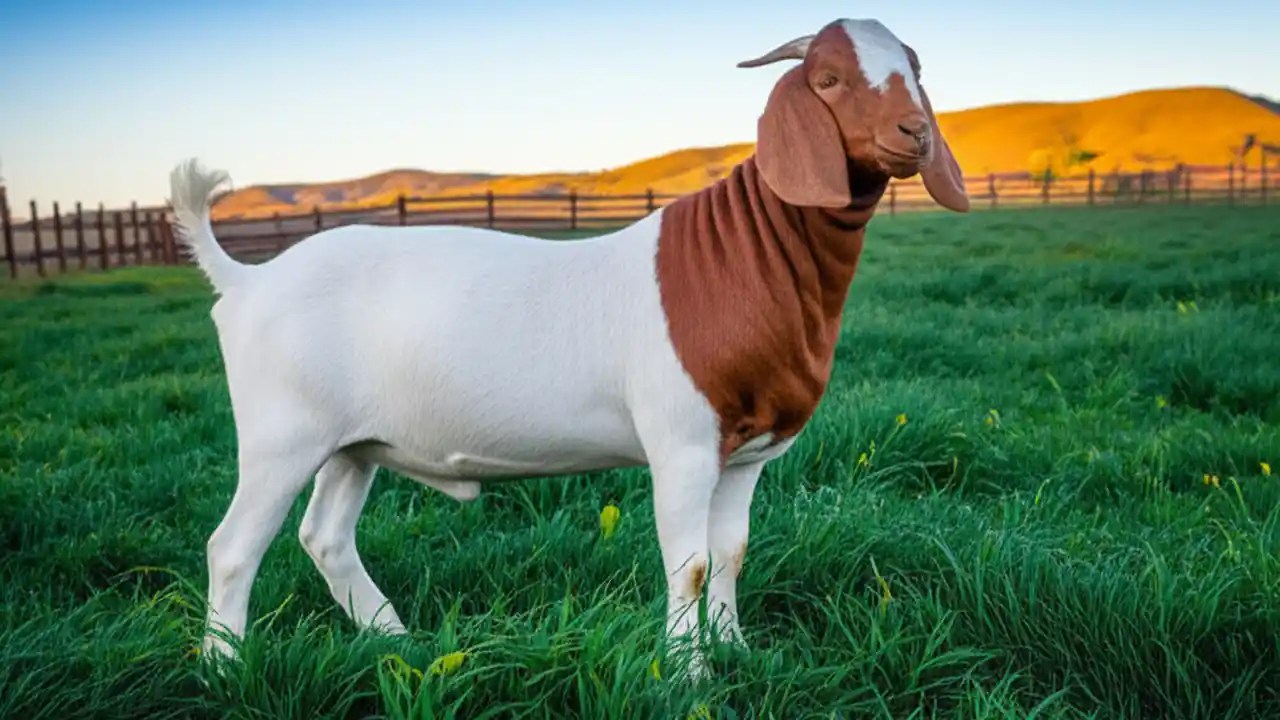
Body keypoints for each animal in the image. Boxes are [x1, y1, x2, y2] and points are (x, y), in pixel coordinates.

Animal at [171, 17, 969, 675]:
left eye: (915, 68)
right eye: (828, 79)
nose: (915, 134)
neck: (744, 257)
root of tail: (245, 278)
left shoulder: (747, 453)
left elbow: (732, 555)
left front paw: (737, 653)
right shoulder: (681, 441)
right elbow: (690, 564)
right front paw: (689, 676)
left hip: (352, 442)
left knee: (326, 537)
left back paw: (397, 639)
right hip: (282, 433)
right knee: (233, 546)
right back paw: (225, 669)